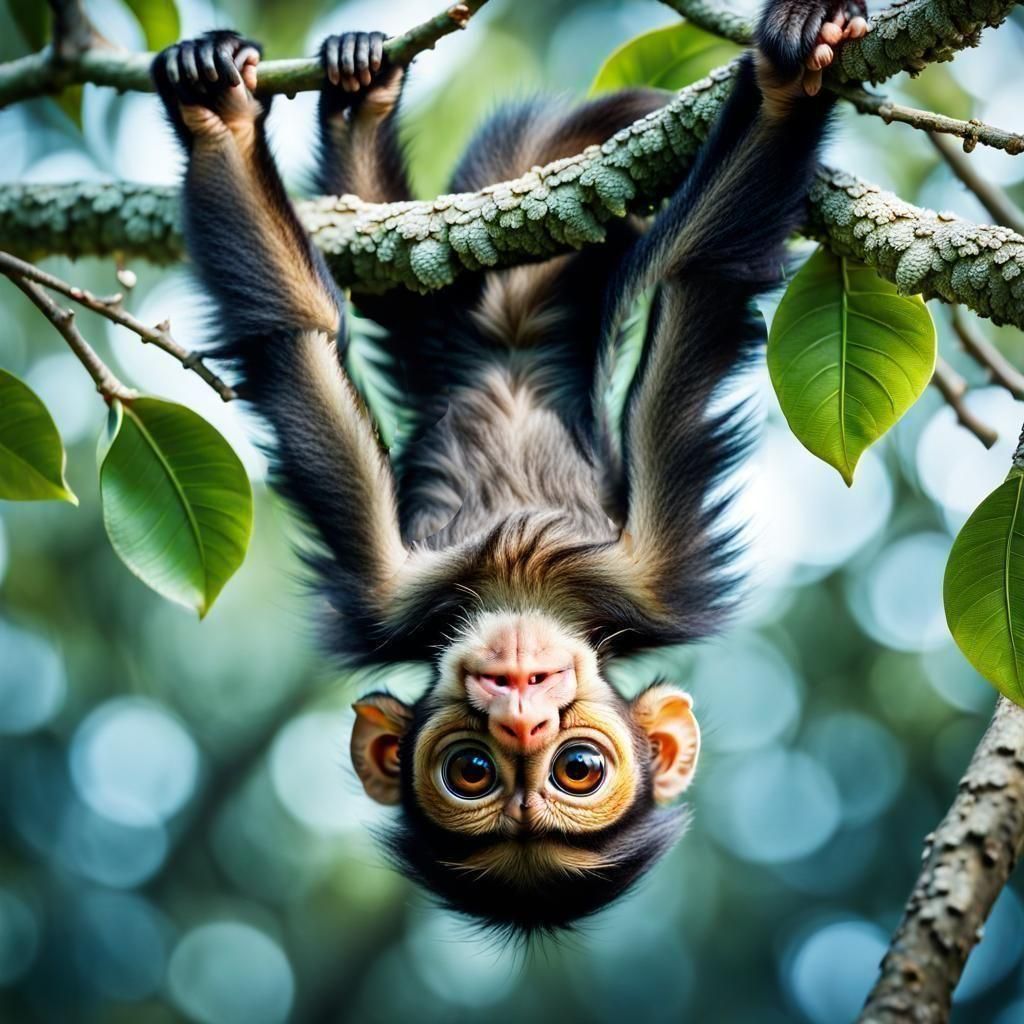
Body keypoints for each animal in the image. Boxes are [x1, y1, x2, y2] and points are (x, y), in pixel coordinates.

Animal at [151, 0, 868, 935]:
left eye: (577, 771)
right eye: (472, 773)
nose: (522, 704)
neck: (517, 568)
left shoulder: (652, 574)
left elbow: (699, 271)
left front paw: (789, 75)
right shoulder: (390, 589)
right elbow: (295, 332)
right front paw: (219, 120)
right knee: (399, 270)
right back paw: (357, 95)